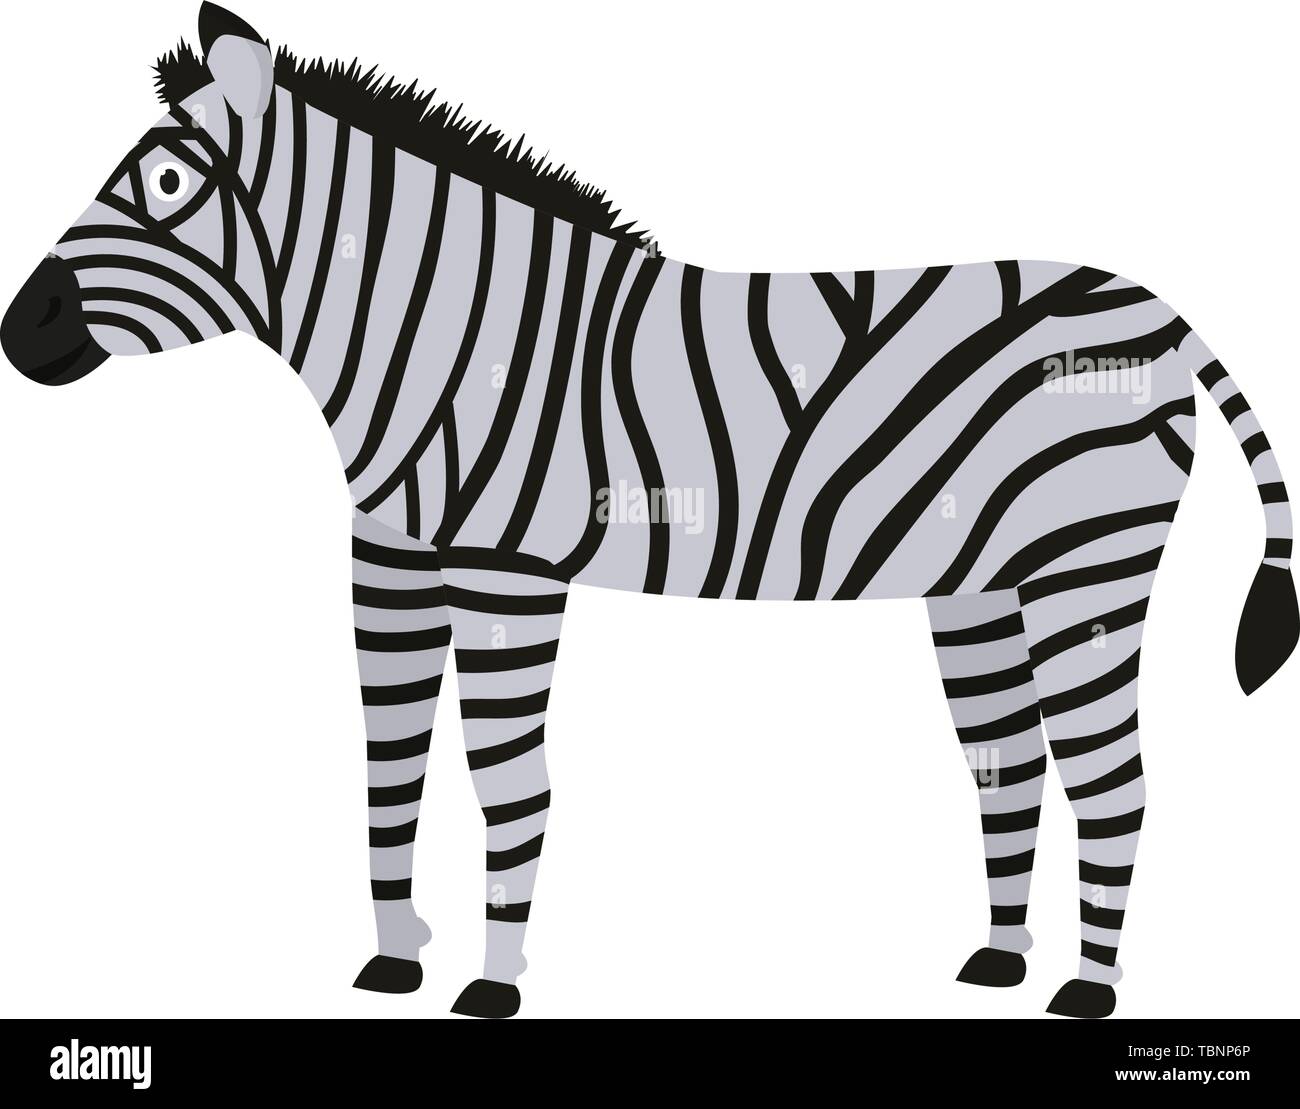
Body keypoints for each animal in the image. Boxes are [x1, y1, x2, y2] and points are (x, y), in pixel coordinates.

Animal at [3, 3, 1296, 1020]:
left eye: (168, 183)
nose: (19, 332)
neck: (434, 336)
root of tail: (1151, 305)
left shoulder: (506, 573)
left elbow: (507, 778)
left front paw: (493, 981)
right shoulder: (388, 568)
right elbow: (385, 766)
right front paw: (393, 961)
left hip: (1088, 566)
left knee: (1112, 778)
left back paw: (1087, 989)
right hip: (981, 582)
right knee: (1006, 762)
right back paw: (998, 961)